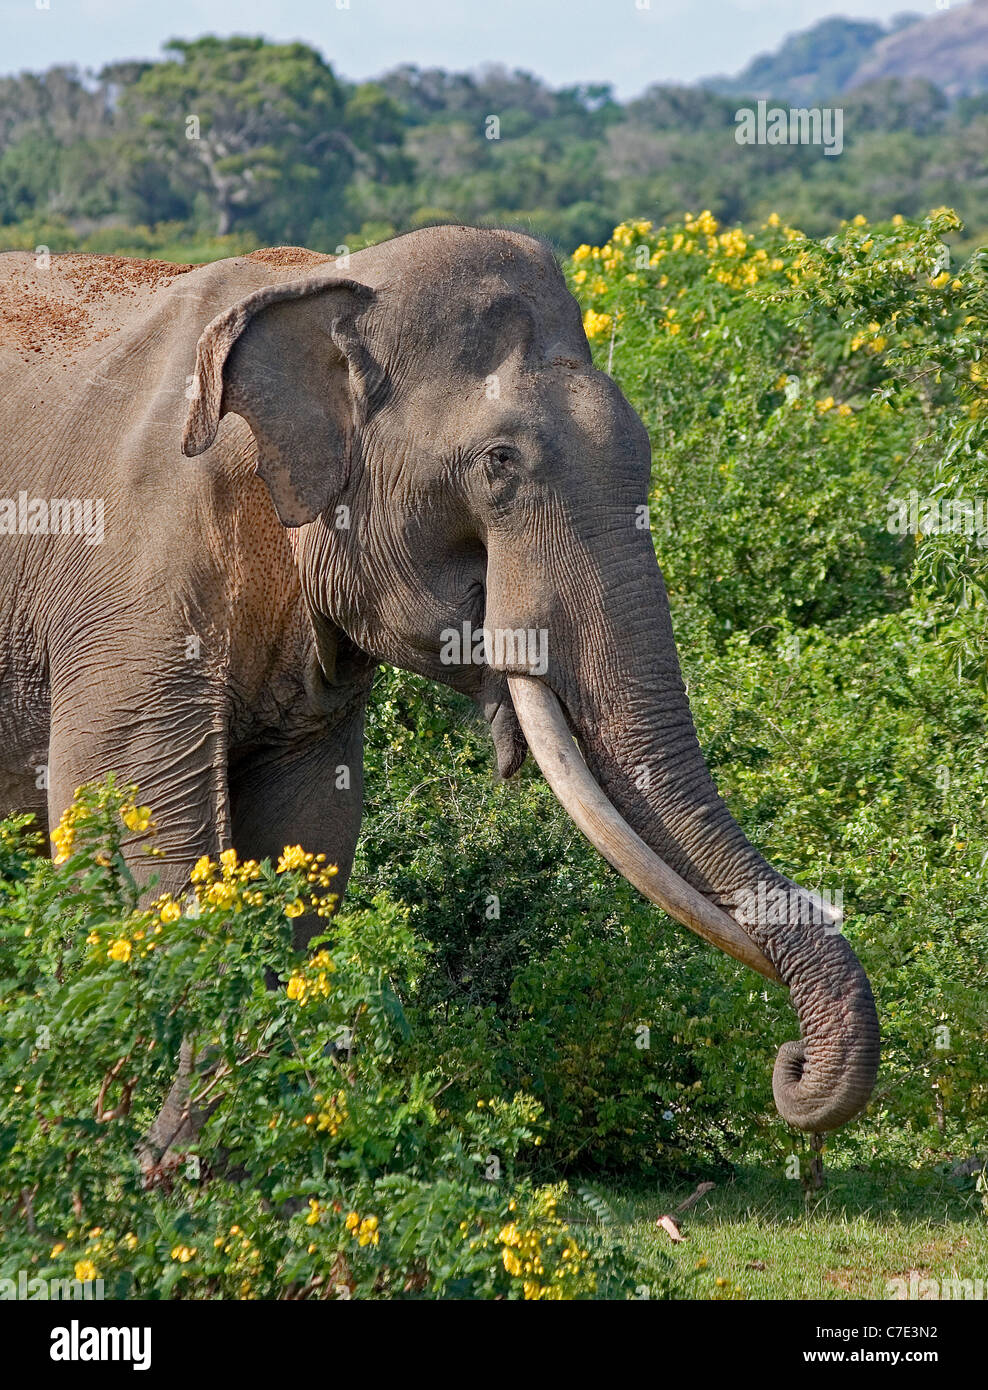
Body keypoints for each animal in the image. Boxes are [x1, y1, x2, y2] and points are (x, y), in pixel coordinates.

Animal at [0, 226, 879, 1136]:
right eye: (499, 463)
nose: (791, 1064)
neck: (331, 282)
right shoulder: (131, 596)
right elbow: (133, 817)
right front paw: (158, 1155)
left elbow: (309, 834)